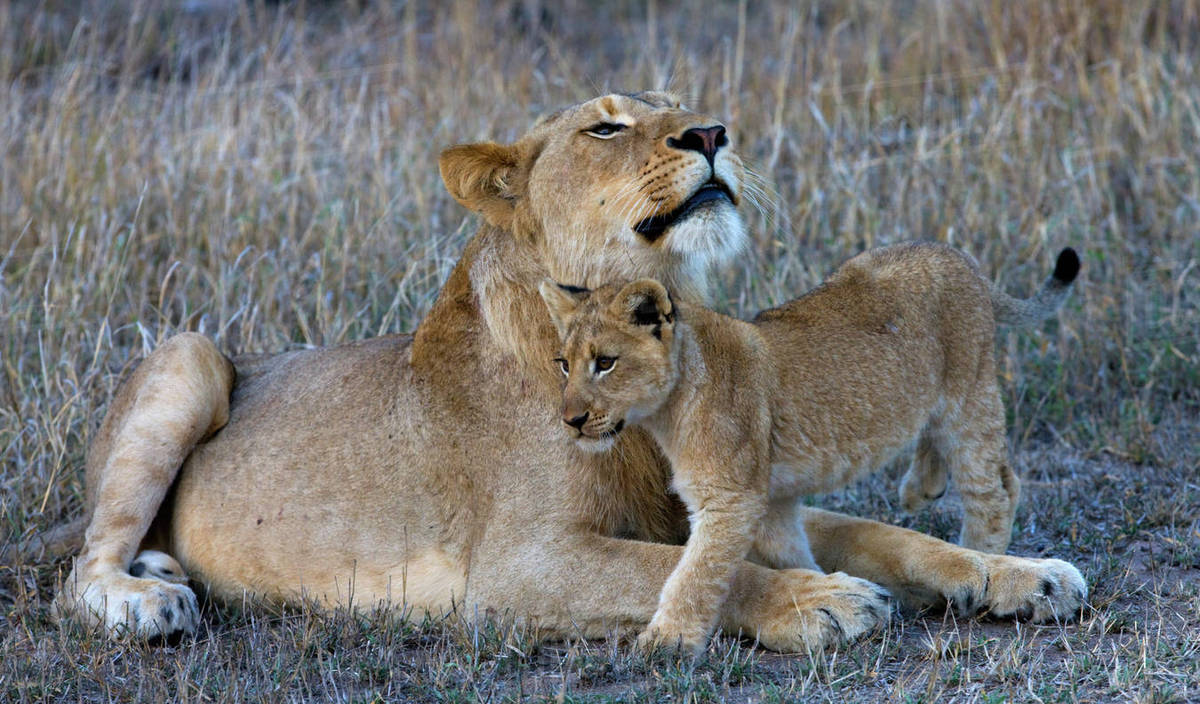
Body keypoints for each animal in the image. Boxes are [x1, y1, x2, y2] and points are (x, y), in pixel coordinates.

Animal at [539, 243, 1081, 652]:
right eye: (563, 364)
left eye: (605, 363)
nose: (571, 421)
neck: (668, 406)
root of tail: (957, 256)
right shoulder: (771, 501)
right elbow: (788, 556)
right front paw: (827, 596)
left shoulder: (730, 499)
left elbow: (694, 573)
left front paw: (666, 642)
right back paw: (920, 489)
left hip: (968, 392)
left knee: (997, 487)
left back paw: (983, 558)